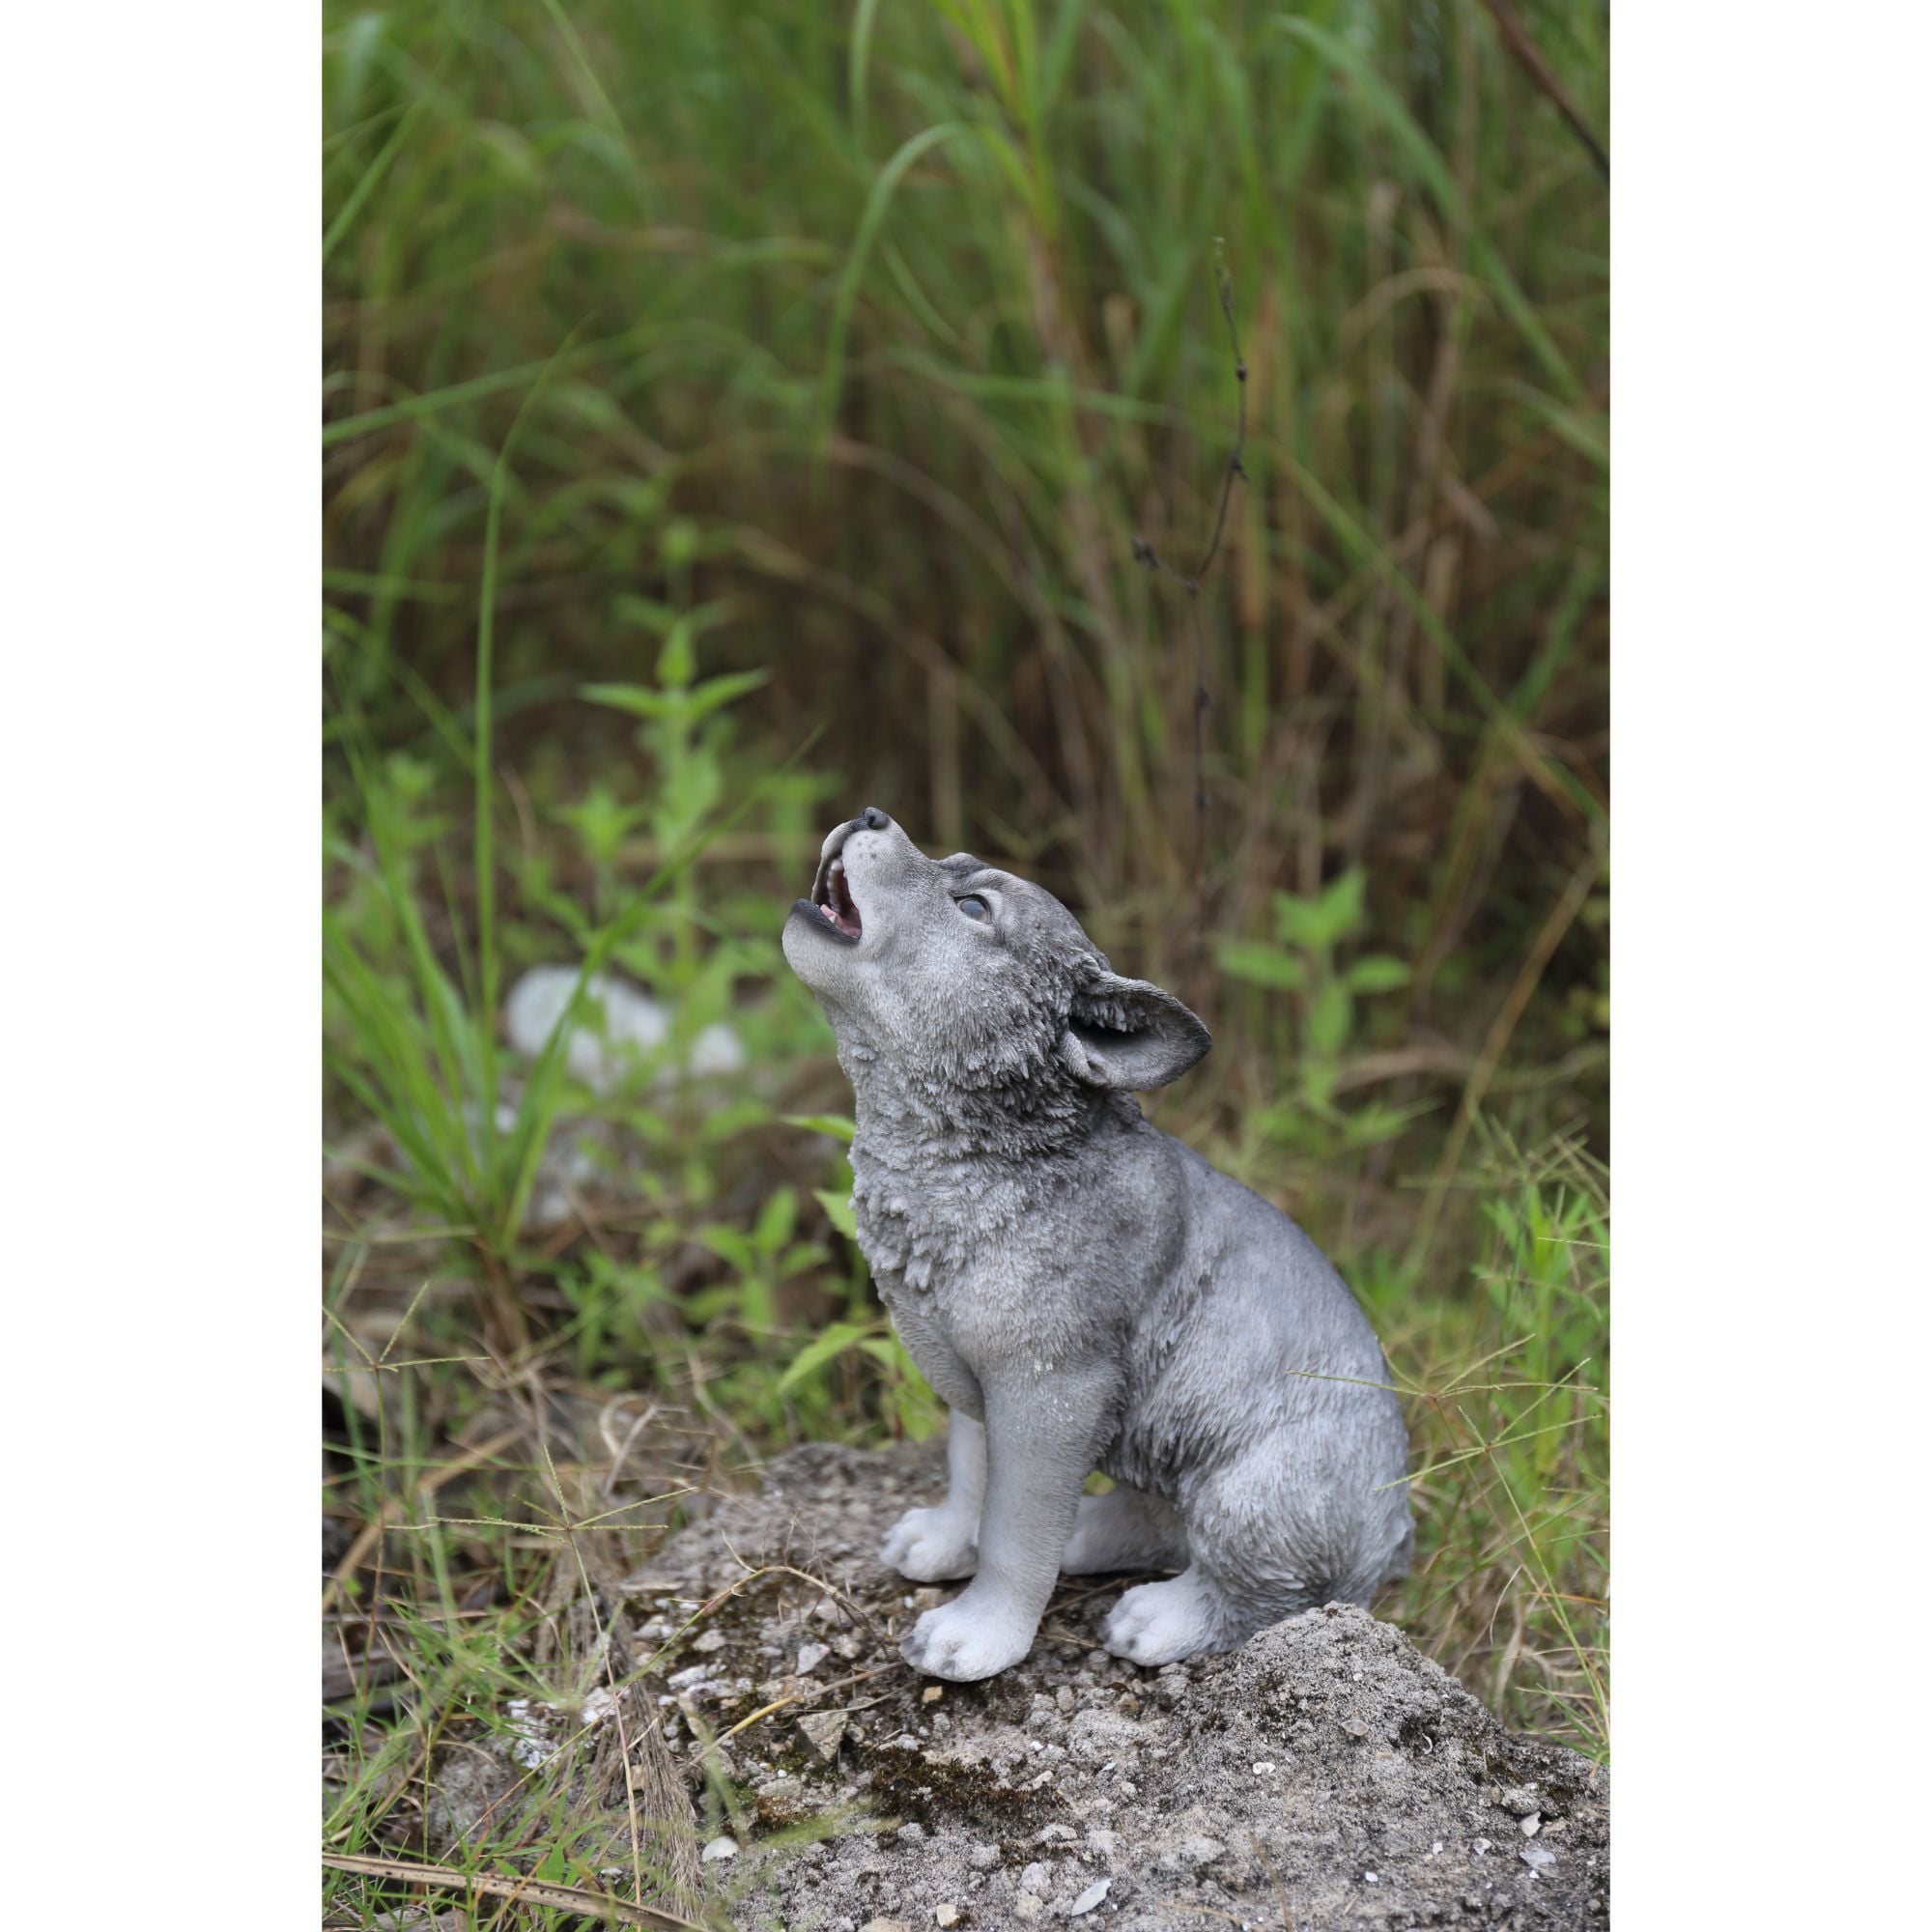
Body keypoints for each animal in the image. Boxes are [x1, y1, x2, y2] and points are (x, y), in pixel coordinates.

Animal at [781, 807, 1413, 1681]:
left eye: (973, 907)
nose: (872, 813)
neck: (986, 1161)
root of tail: (1391, 1549)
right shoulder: (981, 1389)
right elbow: (972, 1479)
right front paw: (946, 1541)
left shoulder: (1051, 1393)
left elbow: (1014, 1534)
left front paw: (977, 1634)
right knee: (1160, 1519)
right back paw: (1083, 1535)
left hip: (1257, 1492)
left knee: (1263, 1596)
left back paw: (1163, 1619)